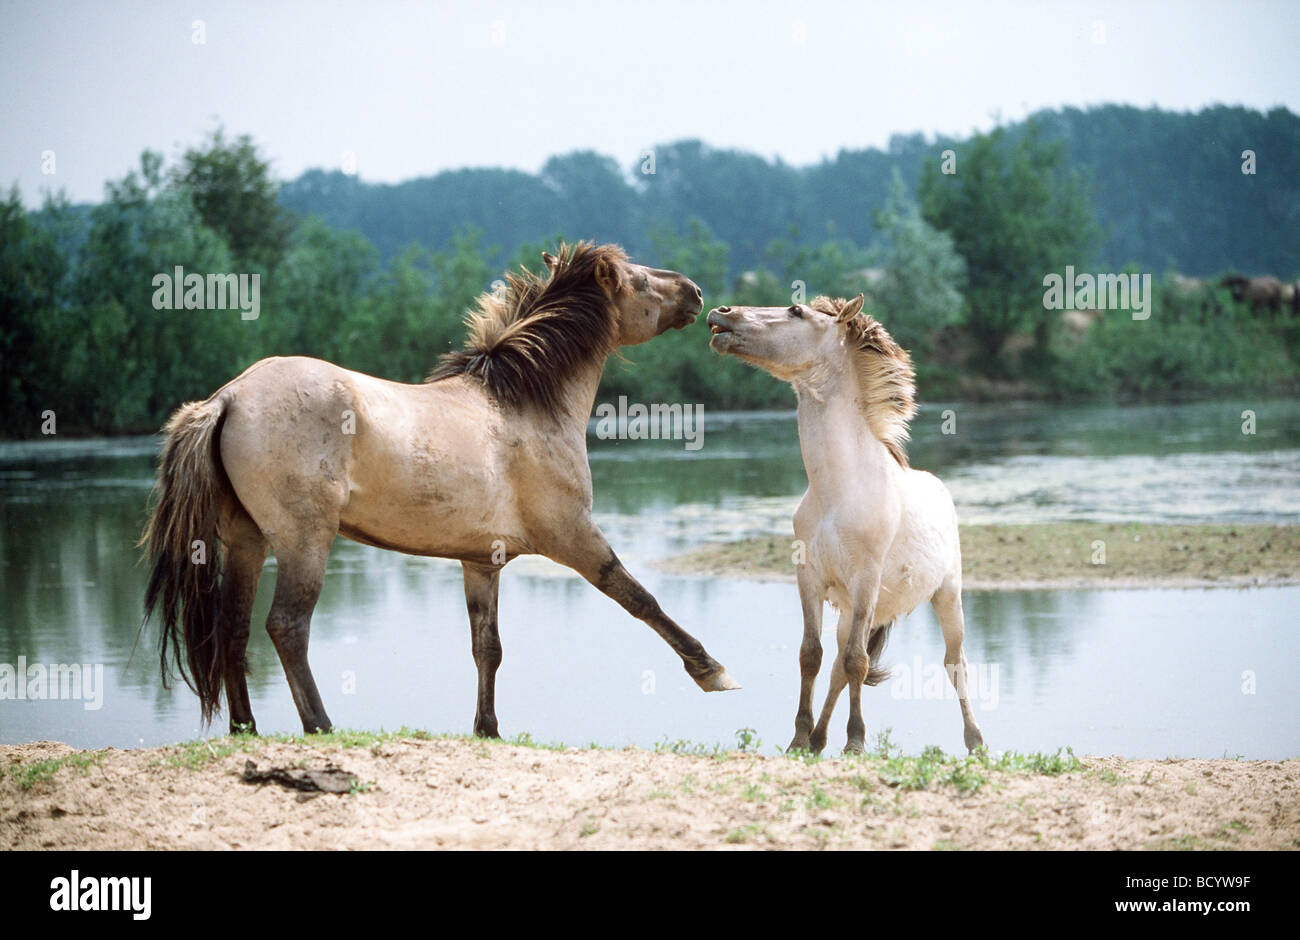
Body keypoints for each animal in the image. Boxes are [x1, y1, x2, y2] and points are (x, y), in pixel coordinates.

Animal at [140, 242, 739, 737]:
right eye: (638, 281)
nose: (697, 294)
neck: (525, 405)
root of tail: (228, 399)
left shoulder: (481, 561)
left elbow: (487, 648)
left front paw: (487, 729)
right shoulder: (573, 536)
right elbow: (638, 597)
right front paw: (713, 671)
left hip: (246, 539)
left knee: (233, 629)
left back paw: (246, 728)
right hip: (303, 540)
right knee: (286, 626)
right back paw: (321, 725)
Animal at [707, 294, 984, 755]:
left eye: (796, 311)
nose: (721, 315)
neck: (836, 491)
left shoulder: (866, 580)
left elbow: (858, 661)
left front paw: (855, 741)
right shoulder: (810, 579)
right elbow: (812, 656)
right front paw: (799, 740)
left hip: (947, 596)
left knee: (954, 664)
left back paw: (976, 742)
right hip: (853, 611)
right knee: (837, 665)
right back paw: (820, 738)